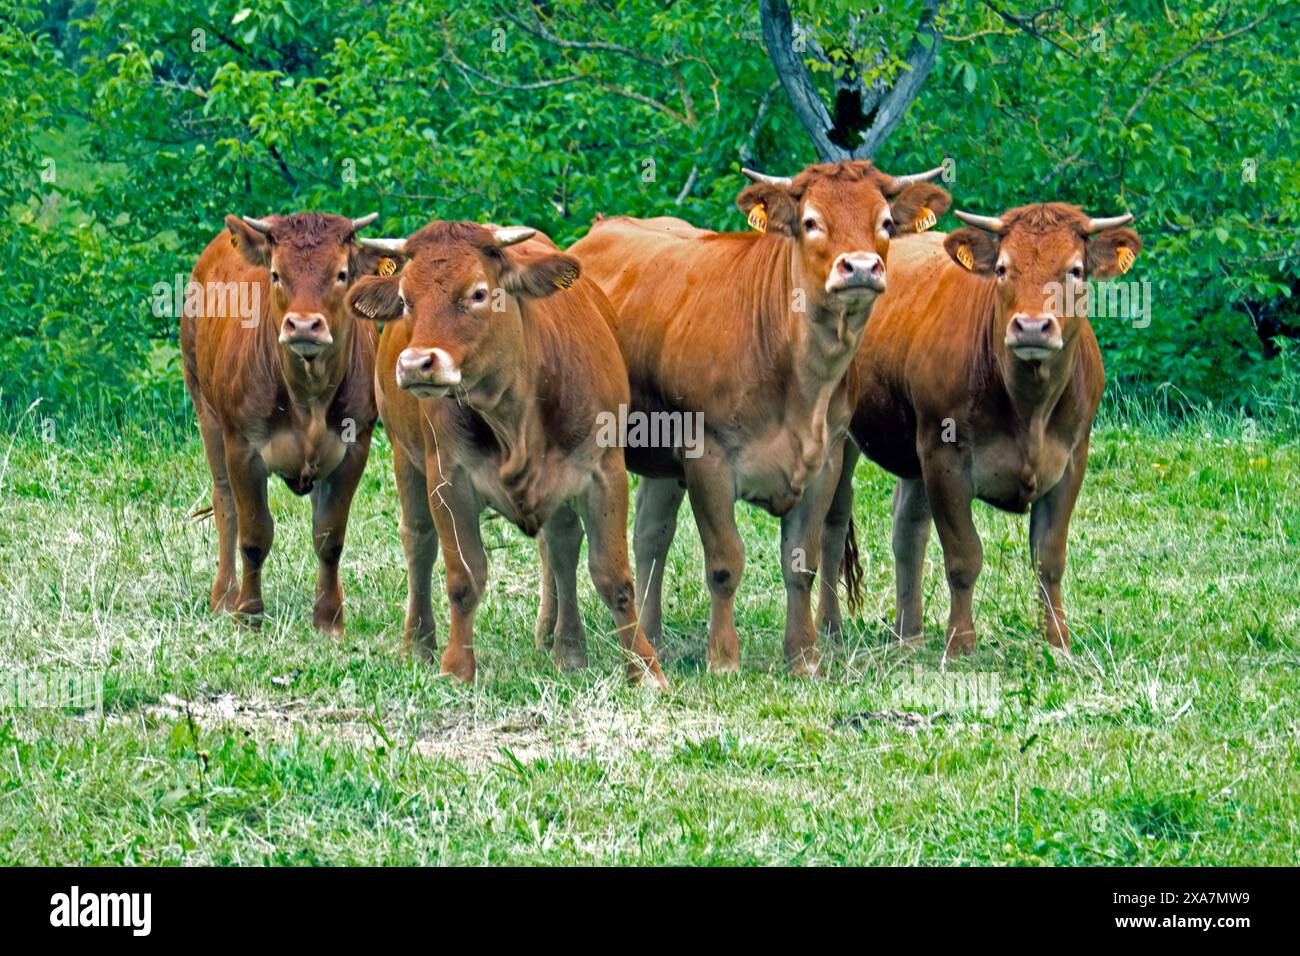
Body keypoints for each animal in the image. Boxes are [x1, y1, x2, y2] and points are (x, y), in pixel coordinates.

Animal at [182, 211, 393, 633]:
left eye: (341, 274)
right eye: (277, 274)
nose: (304, 325)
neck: (308, 399)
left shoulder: (355, 447)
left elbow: (329, 537)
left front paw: (329, 619)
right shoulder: (243, 447)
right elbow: (254, 534)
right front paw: (248, 613)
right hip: (205, 408)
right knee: (224, 501)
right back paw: (223, 596)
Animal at [344, 220, 667, 689]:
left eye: (478, 293)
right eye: (404, 300)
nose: (416, 363)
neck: (514, 415)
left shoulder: (604, 472)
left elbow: (613, 576)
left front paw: (644, 670)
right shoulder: (449, 479)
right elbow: (464, 577)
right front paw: (456, 667)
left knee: (561, 548)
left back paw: (566, 647)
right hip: (406, 457)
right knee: (418, 542)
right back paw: (418, 645)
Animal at [568, 161, 950, 675]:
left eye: (886, 223)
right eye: (811, 222)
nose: (861, 267)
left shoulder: (827, 459)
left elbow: (802, 562)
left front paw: (804, 656)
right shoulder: (707, 459)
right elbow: (725, 562)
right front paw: (724, 659)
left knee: (651, 535)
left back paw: (653, 636)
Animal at [816, 203, 1142, 658]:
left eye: (1075, 270)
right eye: (1003, 269)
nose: (1032, 327)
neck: (1030, 410)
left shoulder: (1072, 460)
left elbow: (1049, 558)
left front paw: (1057, 641)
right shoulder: (944, 458)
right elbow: (963, 555)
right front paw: (961, 643)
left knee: (907, 527)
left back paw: (908, 634)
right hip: (842, 433)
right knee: (833, 520)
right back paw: (829, 630)